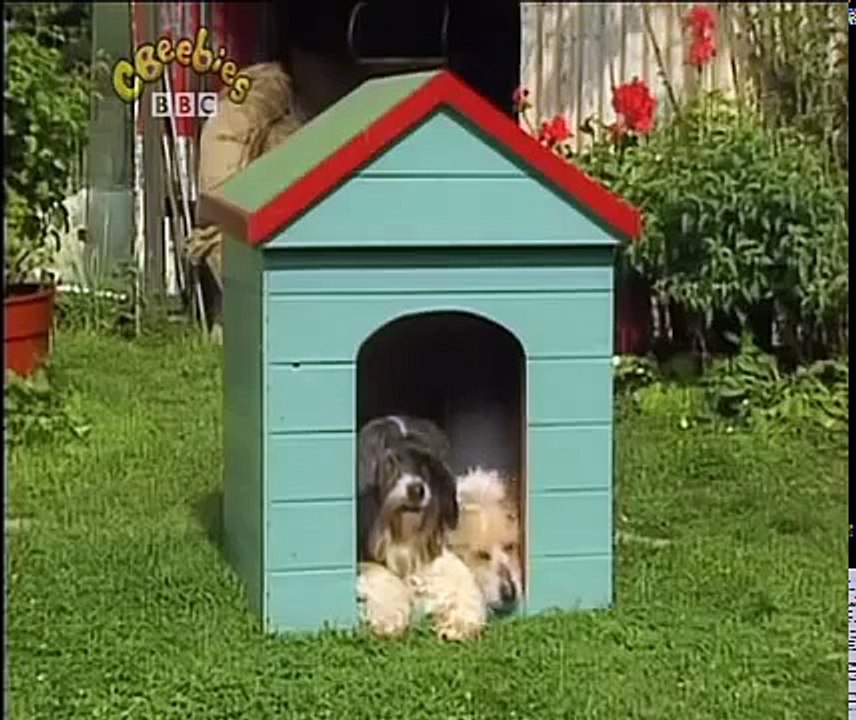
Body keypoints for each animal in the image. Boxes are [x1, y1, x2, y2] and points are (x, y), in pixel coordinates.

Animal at [355, 416, 486, 640]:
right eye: (390, 461)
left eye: (425, 461)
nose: (417, 490)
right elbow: (379, 574)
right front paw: (389, 617)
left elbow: (455, 573)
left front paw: (461, 619)